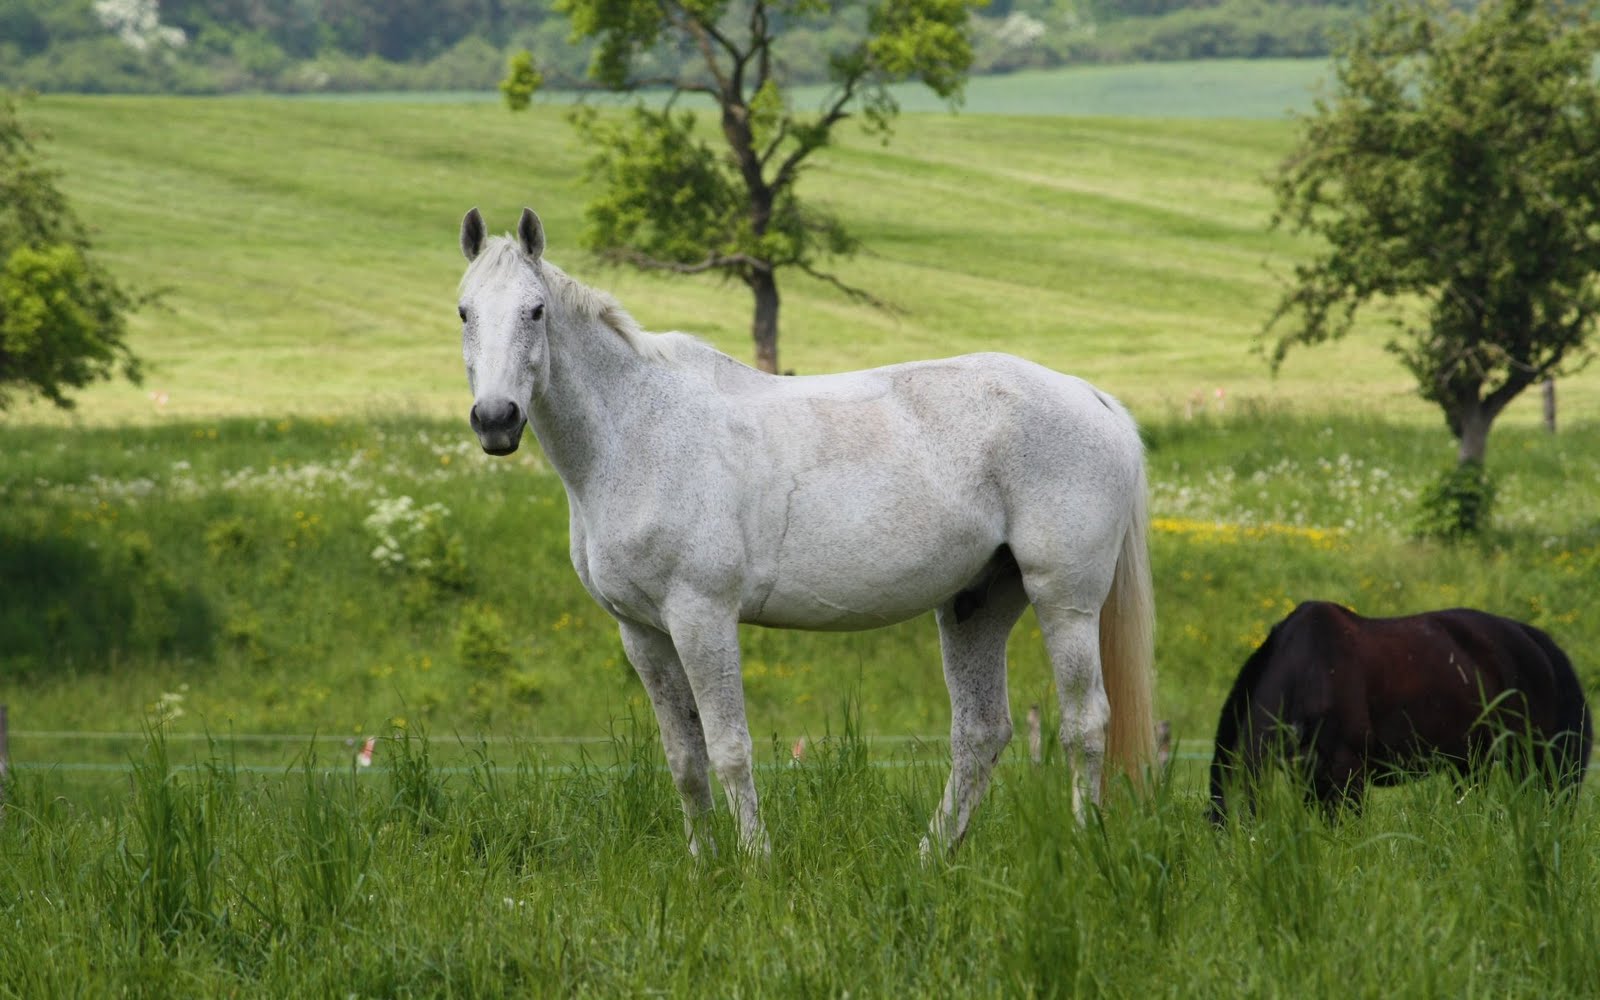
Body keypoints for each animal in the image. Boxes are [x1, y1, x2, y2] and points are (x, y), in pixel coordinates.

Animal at [455, 207, 1157, 856]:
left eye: (536, 311)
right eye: (465, 312)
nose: (496, 420)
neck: (635, 432)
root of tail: (1091, 398)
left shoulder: (702, 617)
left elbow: (728, 748)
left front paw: (755, 863)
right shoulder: (643, 632)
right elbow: (684, 759)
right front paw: (703, 866)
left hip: (1063, 599)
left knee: (1085, 723)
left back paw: (1082, 845)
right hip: (975, 605)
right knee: (981, 733)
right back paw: (930, 859)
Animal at [1208, 600, 1593, 822]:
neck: (1311, 668)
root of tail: (1530, 639)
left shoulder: (1347, 770)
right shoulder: (1309, 775)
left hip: (1530, 759)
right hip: (1471, 762)